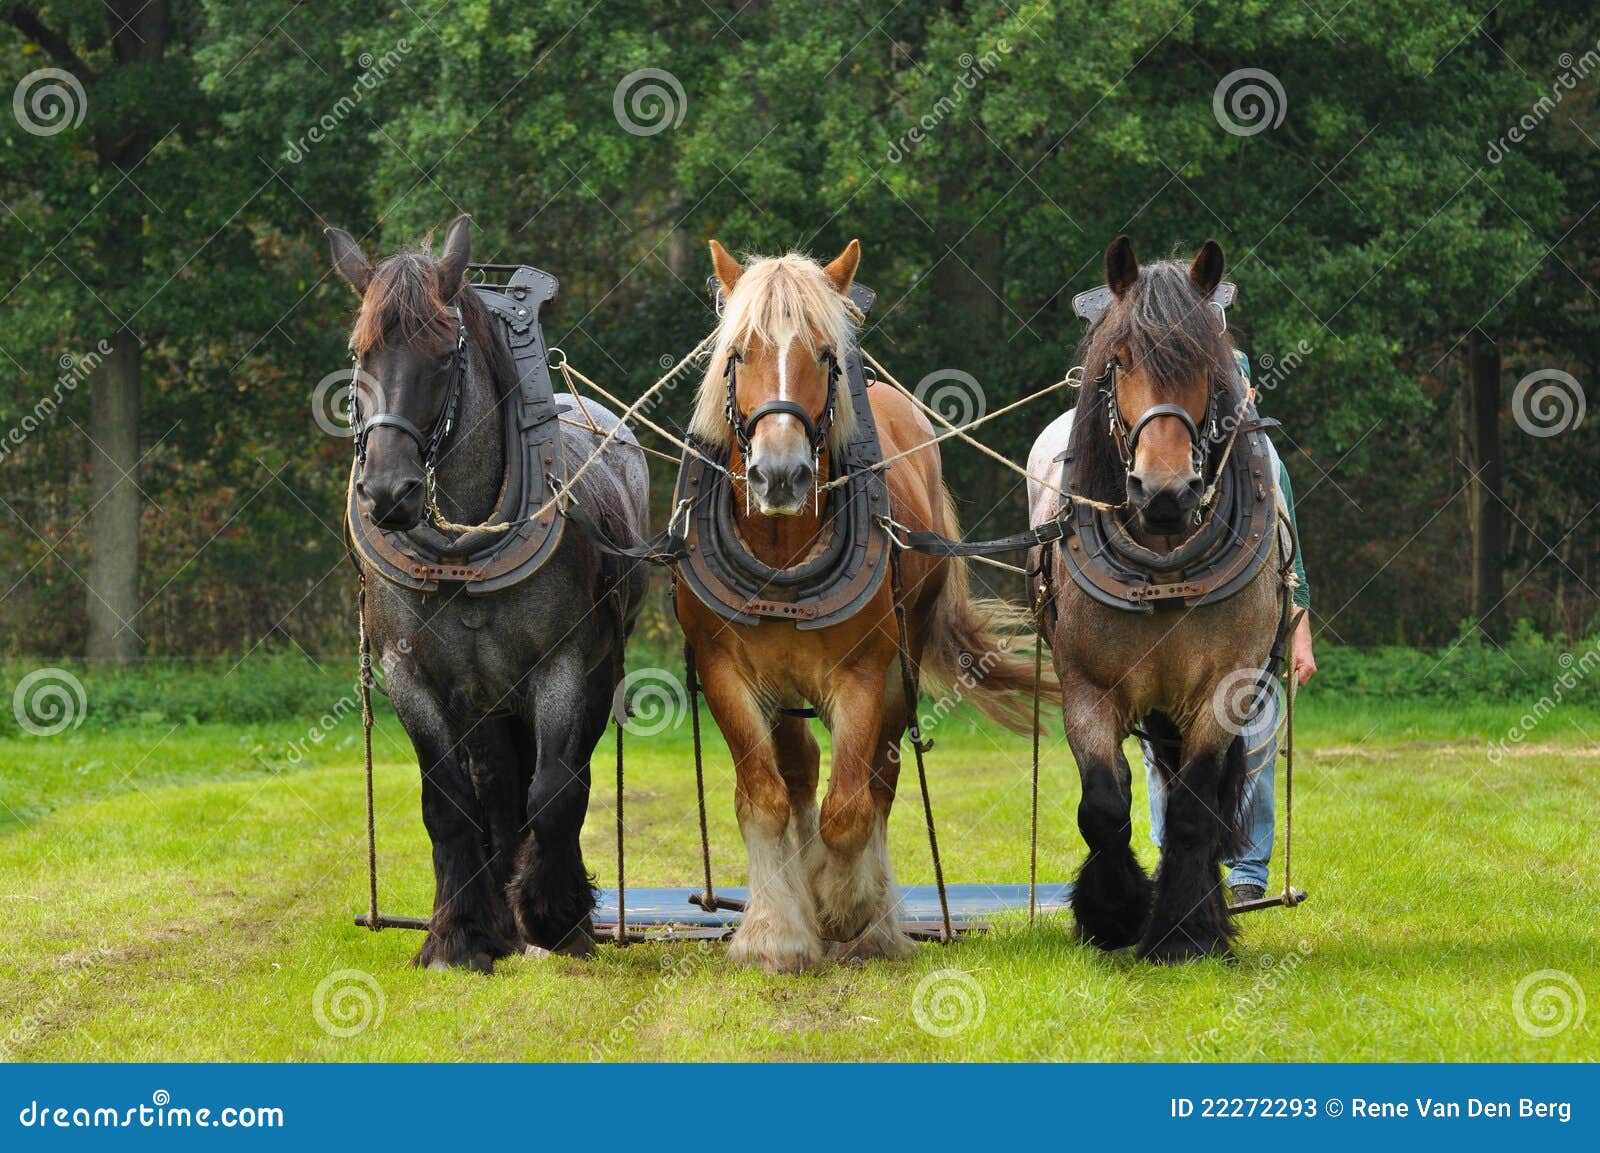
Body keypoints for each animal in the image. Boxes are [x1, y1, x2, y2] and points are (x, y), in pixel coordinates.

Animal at [327, 216, 650, 971]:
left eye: (445, 355)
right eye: (358, 352)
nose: (387, 492)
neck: (464, 553)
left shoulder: (567, 665)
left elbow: (557, 790)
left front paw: (555, 918)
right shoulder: (411, 674)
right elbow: (448, 801)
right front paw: (461, 935)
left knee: (561, 777)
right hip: (483, 697)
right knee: (497, 788)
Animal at [677, 239, 1047, 973]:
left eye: (826, 354)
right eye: (739, 353)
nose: (781, 474)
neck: (783, 550)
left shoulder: (864, 673)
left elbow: (849, 806)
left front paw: (848, 909)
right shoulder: (726, 670)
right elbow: (764, 796)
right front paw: (776, 933)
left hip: (902, 667)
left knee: (881, 774)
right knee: (798, 770)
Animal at [1027, 236, 1284, 962]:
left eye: (1202, 359)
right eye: (1119, 361)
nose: (1164, 491)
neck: (1167, 564)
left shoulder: (1222, 690)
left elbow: (1196, 810)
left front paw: (1185, 930)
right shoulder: (1086, 688)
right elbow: (1104, 807)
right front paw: (1114, 913)